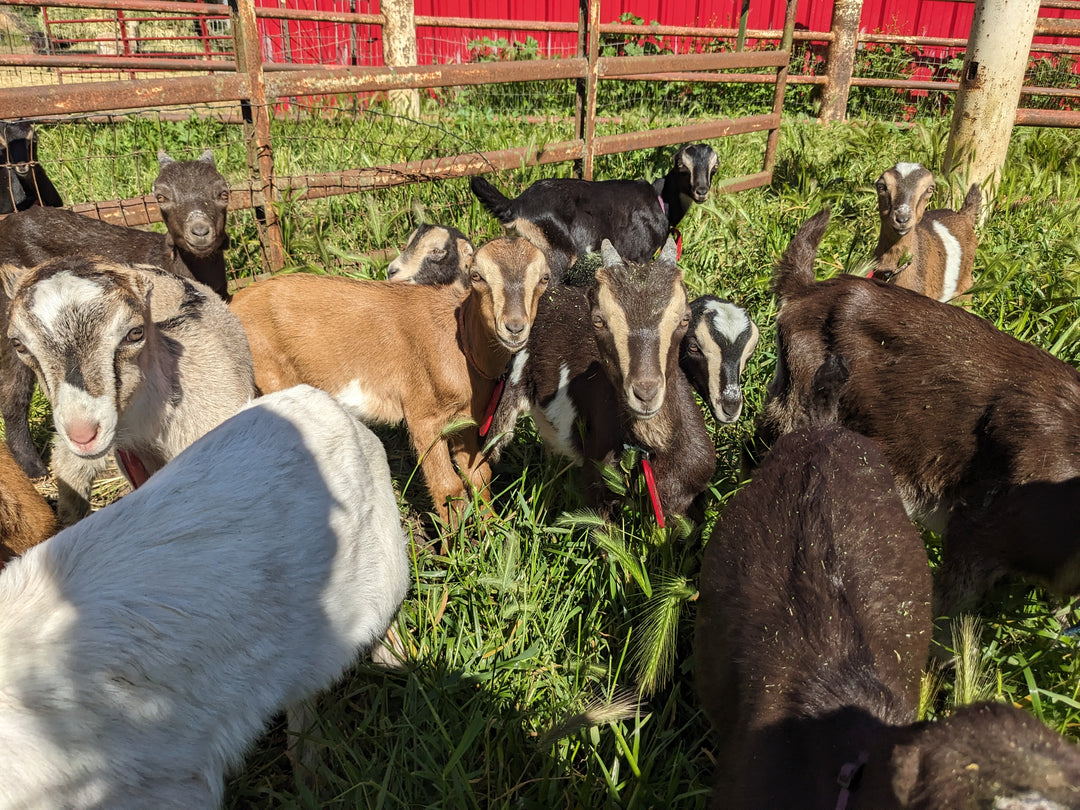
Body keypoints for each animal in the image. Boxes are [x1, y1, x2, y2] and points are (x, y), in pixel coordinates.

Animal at [230, 236, 551, 525]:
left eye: (544, 278)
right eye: (476, 276)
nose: (514, 327)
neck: (459, 340)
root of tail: (234, 302)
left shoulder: (467, 420)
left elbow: (478, 475)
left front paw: (492, 533)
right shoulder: (423, 417)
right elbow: (448, 486)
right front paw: (453, 549)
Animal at [469, 143, 718, 277]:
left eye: (714, 168)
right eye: (682, 167)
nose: (701, 191)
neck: (660, 202)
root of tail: (517, 204)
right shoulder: (639, 256)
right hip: (556, 249)